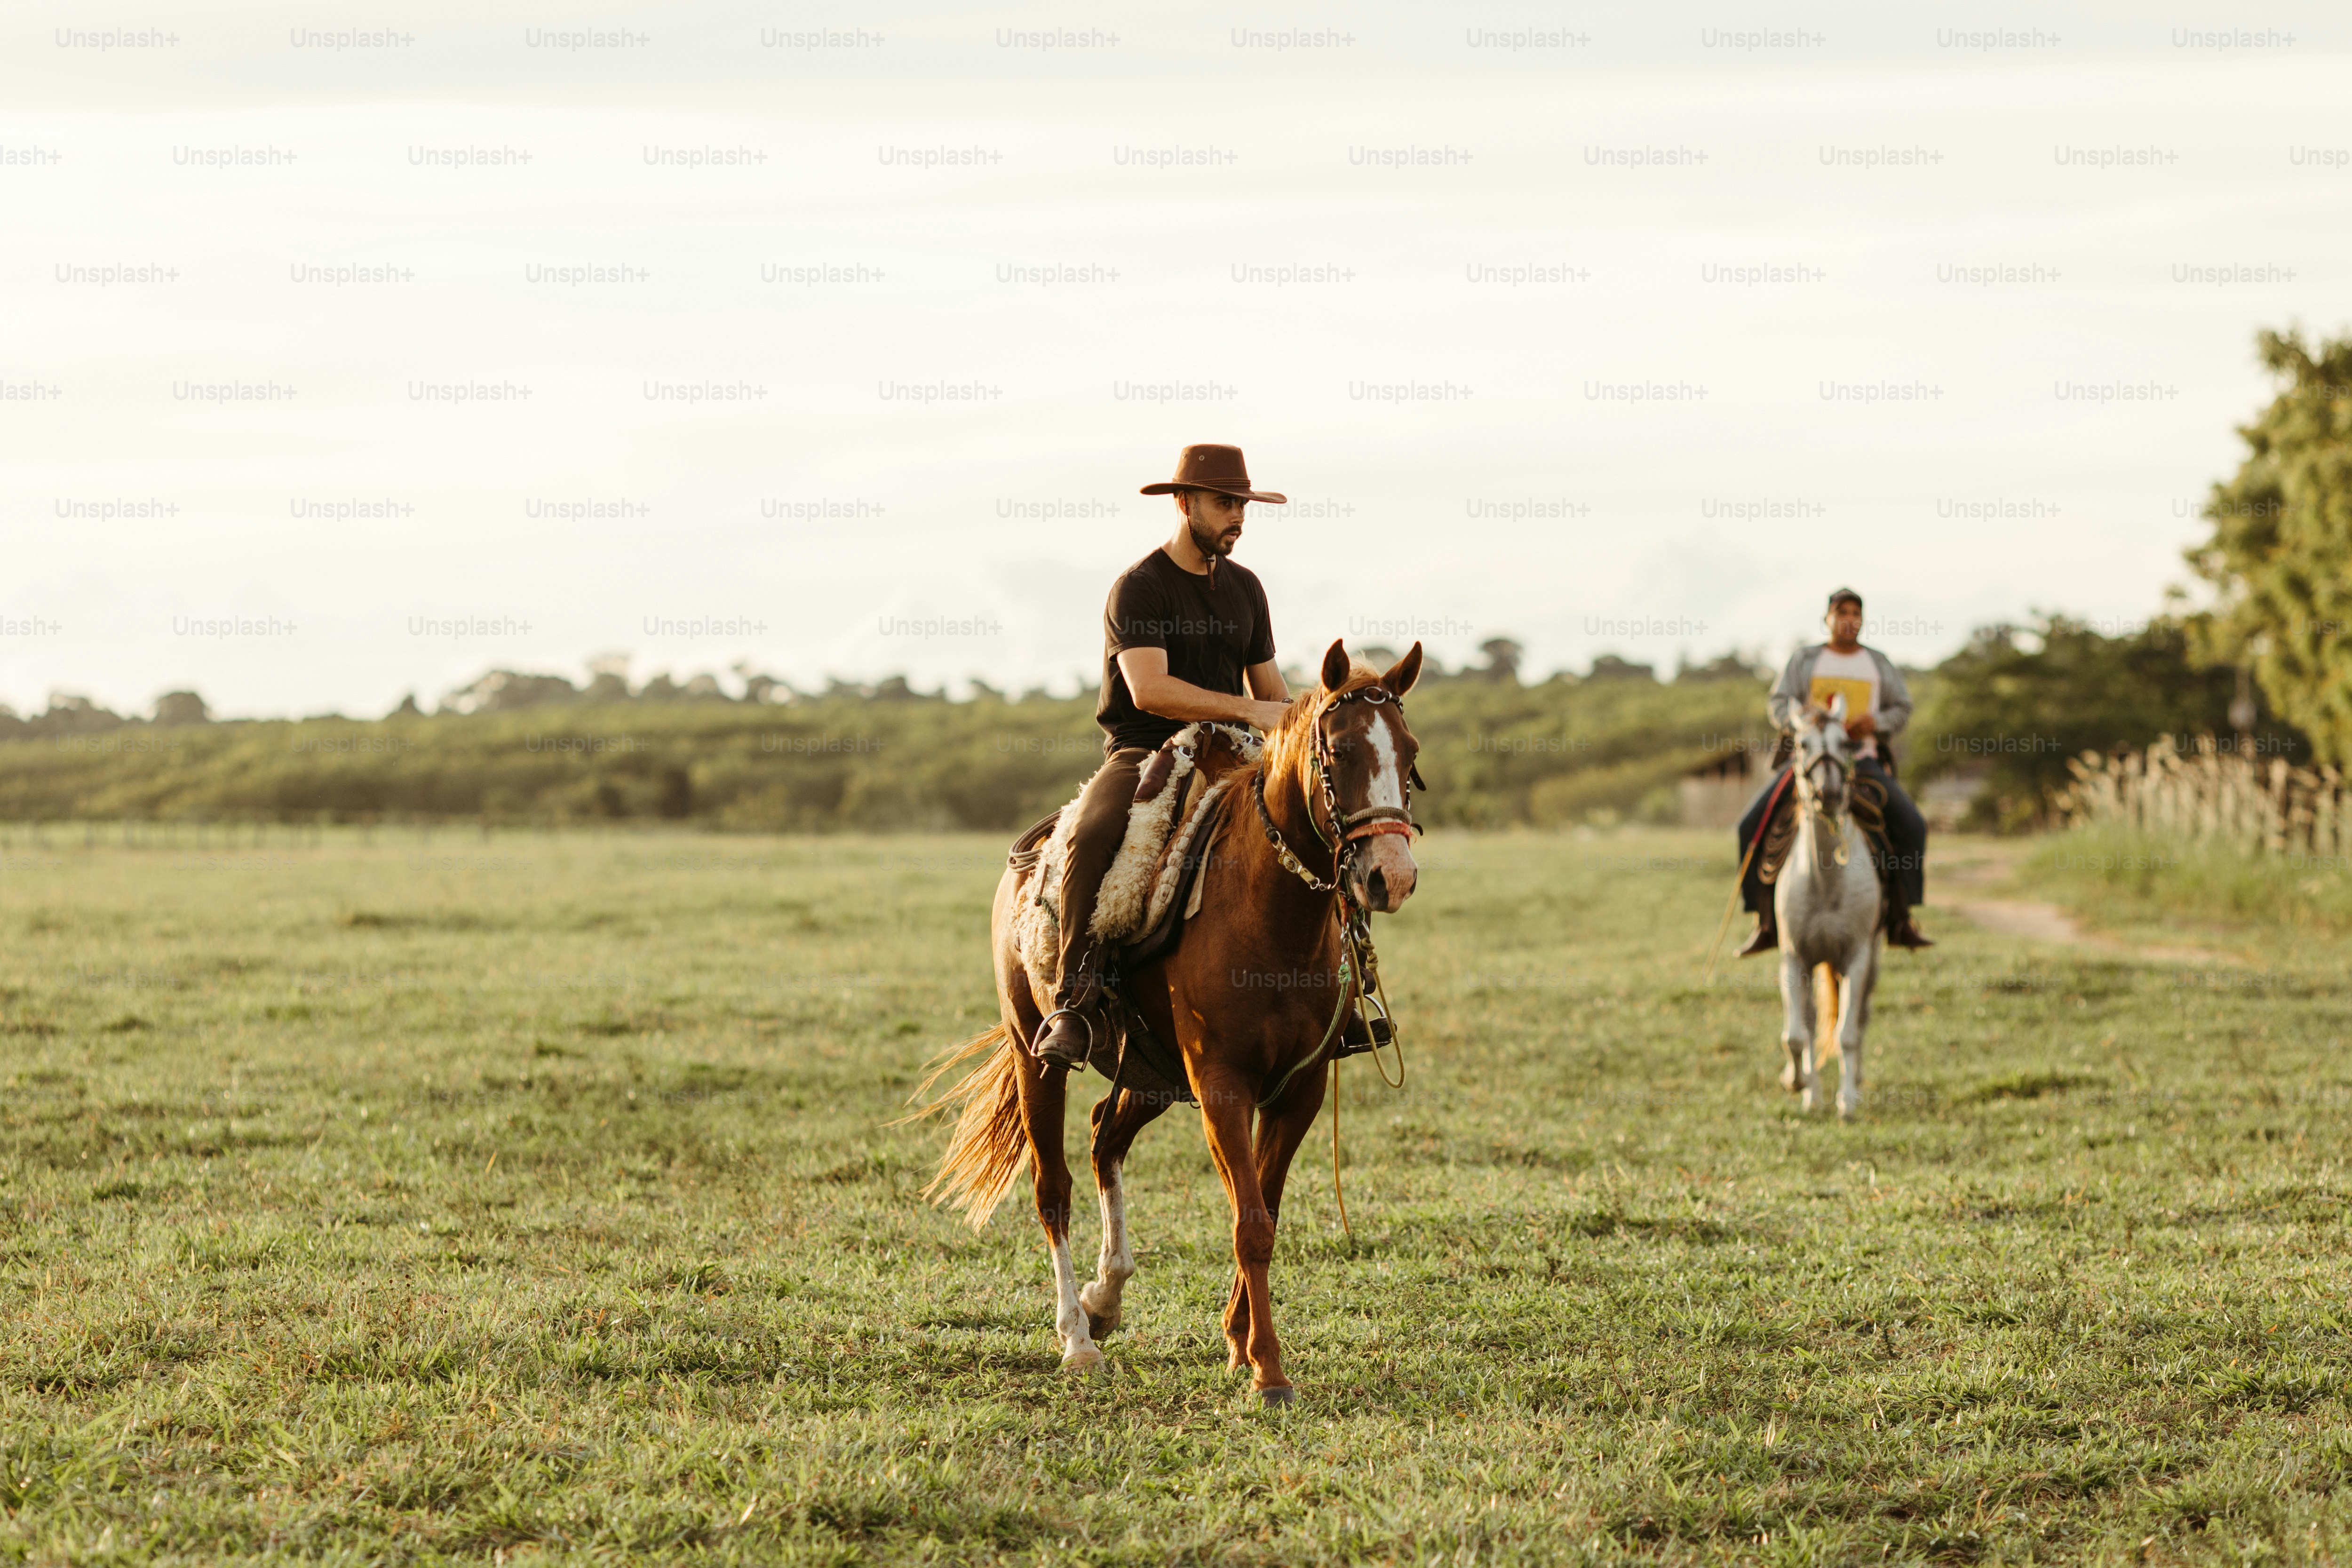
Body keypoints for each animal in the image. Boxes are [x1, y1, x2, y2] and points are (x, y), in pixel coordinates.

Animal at [914, 640, 1423, 1404]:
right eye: (1338, 750)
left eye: (1409, 751)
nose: (1391, 875)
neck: (1270, 913)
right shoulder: (1221, 1083)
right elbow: (1250, 1221)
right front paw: (1268, 1369)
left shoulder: (1297, 1089)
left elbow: (1265, 1207)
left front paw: (1240, 1342)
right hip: (1036, 1054)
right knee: (1052, 1187)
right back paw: (1077, 1339)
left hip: (1148, 1073)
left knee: (1104, 1137)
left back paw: (1105, 1297)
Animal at [1774, 694, 1882, 1118]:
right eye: (1801, 745)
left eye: (1846, 744)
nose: (1830, 794)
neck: (1825, 882)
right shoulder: (1794, 957)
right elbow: (1795, 1035)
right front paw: (1798, 1084)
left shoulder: (1858, 956)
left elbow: (1848, 1033)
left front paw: (1847, 1102)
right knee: (1809, 1022)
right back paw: (1812, 1093)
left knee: (1859, 1019)